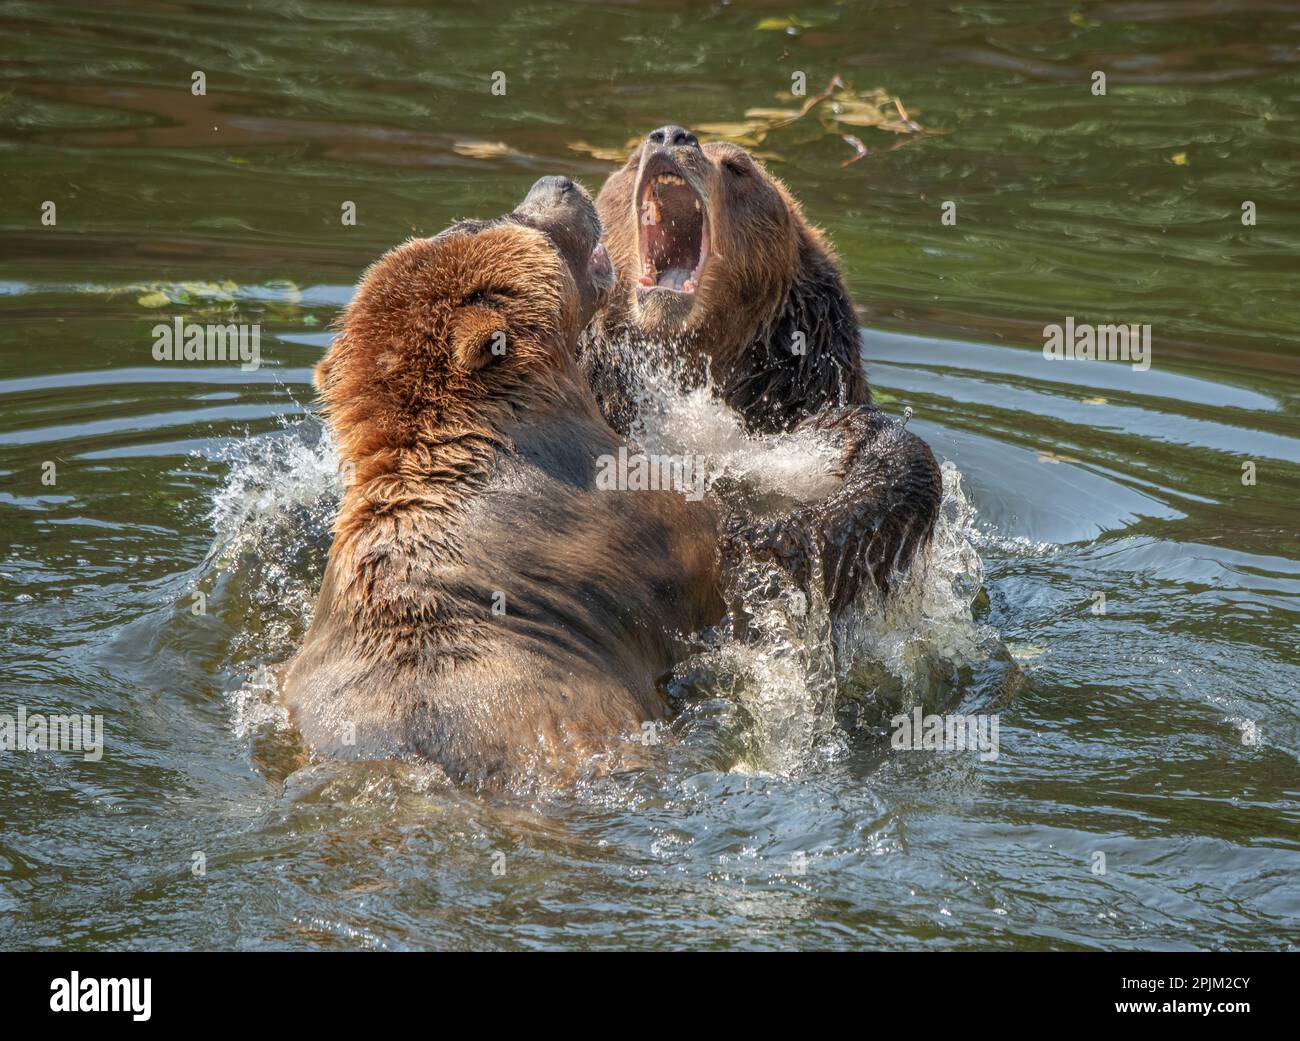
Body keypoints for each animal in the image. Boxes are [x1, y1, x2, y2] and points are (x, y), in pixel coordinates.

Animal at [582, 124, 943, 609]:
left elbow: (892, 454)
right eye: (630, 161)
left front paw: (769, 540)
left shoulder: (804, 392)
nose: (672, 135)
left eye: (738, 167)